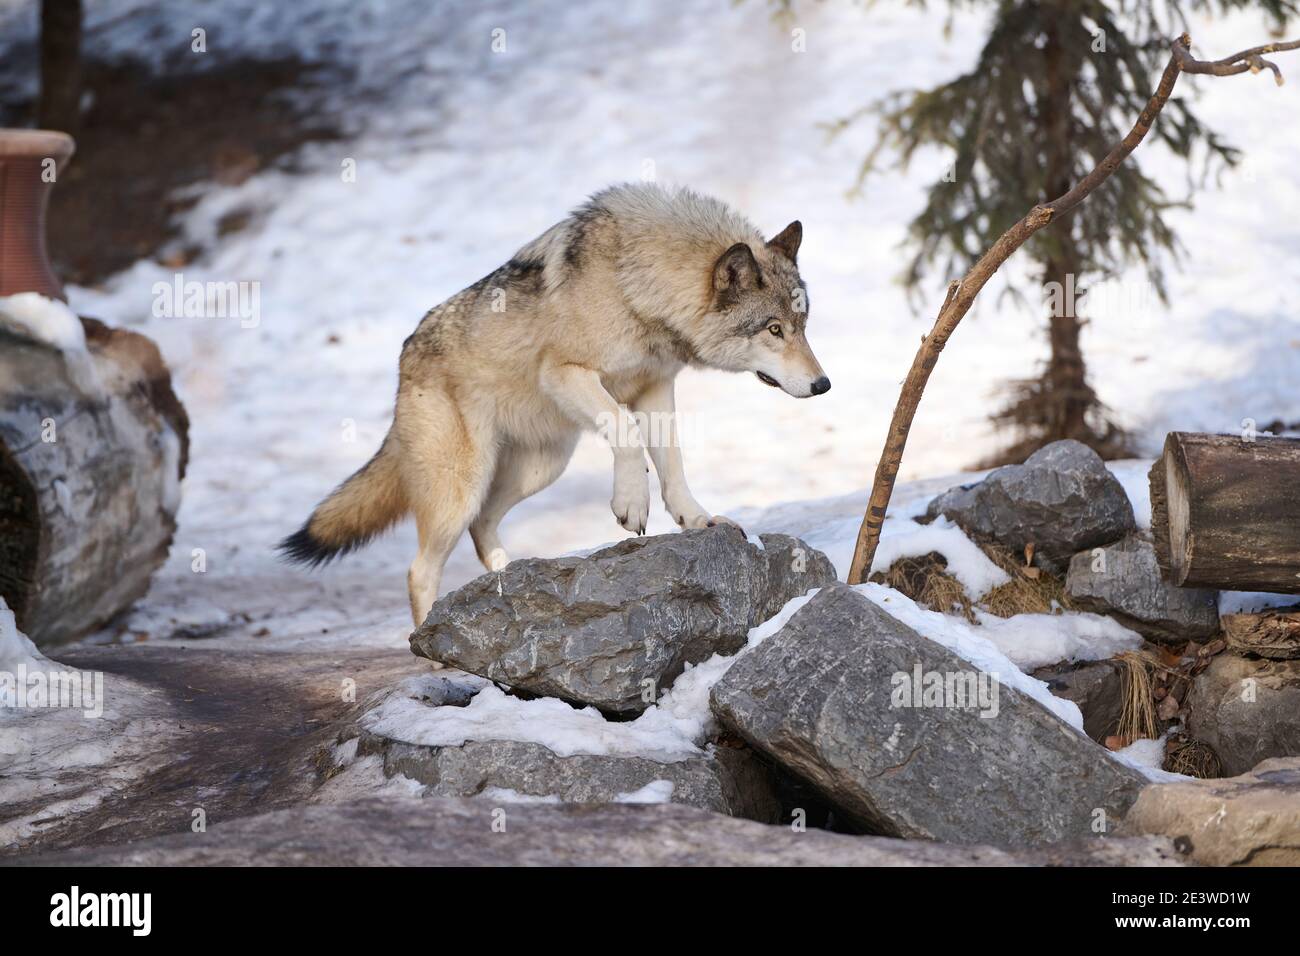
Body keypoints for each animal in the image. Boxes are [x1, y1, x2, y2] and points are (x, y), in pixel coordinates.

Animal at [279, 183, 830, 625]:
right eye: (773, 330)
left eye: (802, 326)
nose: (823, 385)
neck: (637, 286)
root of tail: (404, 357)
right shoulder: (567, 373)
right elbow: (628, 437)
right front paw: (631, 503)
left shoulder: (655, 388)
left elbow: (672, 462)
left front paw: (697, 520)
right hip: (463, 486)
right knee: (420, 569)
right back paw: (428, 653)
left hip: (541, 467)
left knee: (483, 527)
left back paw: (505, 585)